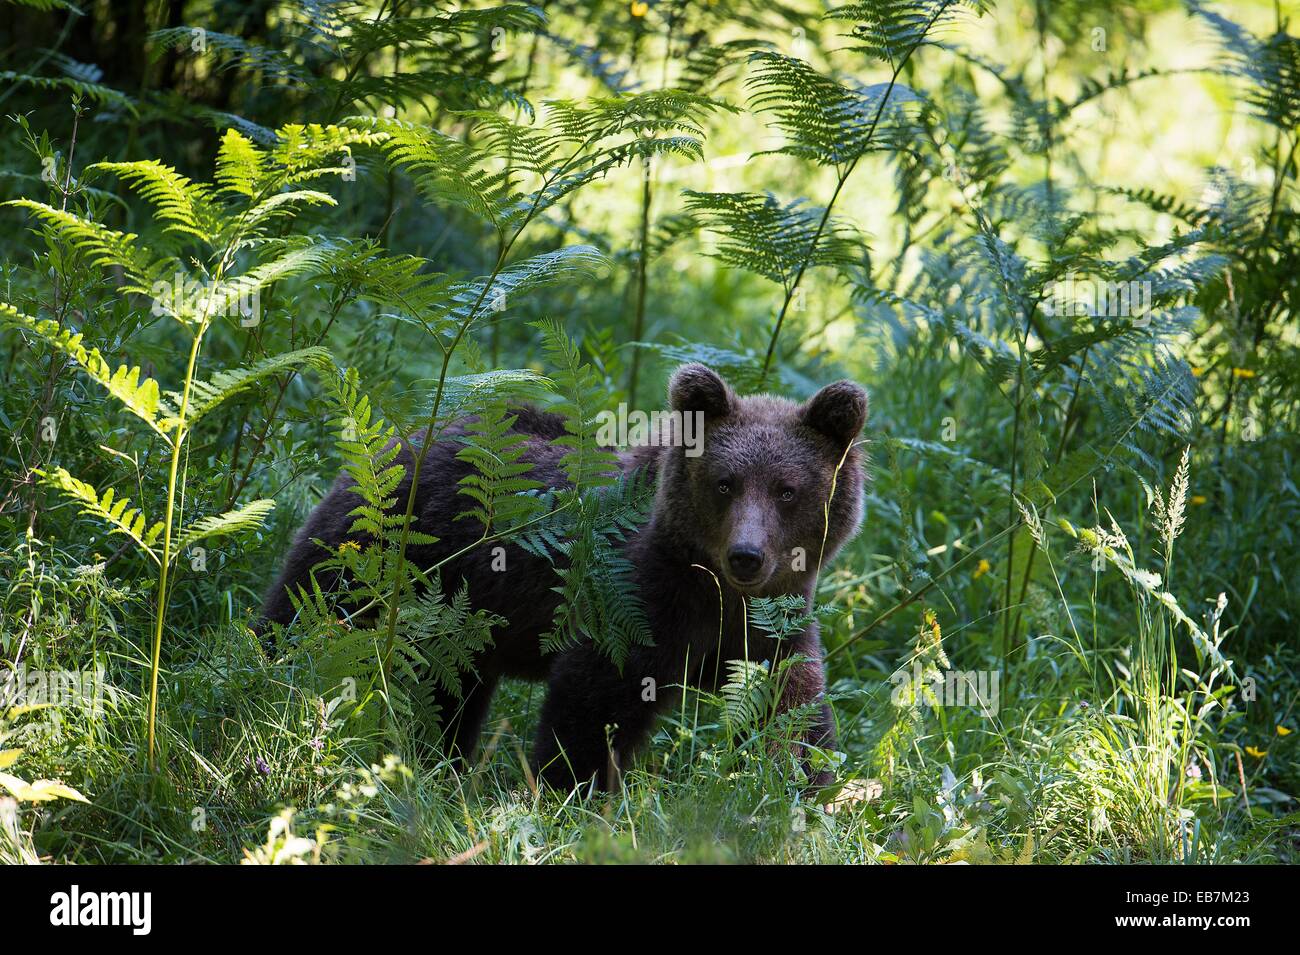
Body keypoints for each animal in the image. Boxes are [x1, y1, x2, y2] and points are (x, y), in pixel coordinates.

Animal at [259, 363, 868, 790]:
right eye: (725, 483)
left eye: (787, 489)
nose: (746, 555)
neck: (710, 589)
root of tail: (402, 435)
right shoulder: (636, 602)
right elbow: (592, 705)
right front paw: (568, 792)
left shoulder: (769, 625)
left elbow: (793, 711)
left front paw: (808, 793)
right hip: (379, 553)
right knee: (303, 615)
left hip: (458, 622)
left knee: (451, 692)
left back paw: (441, 761)